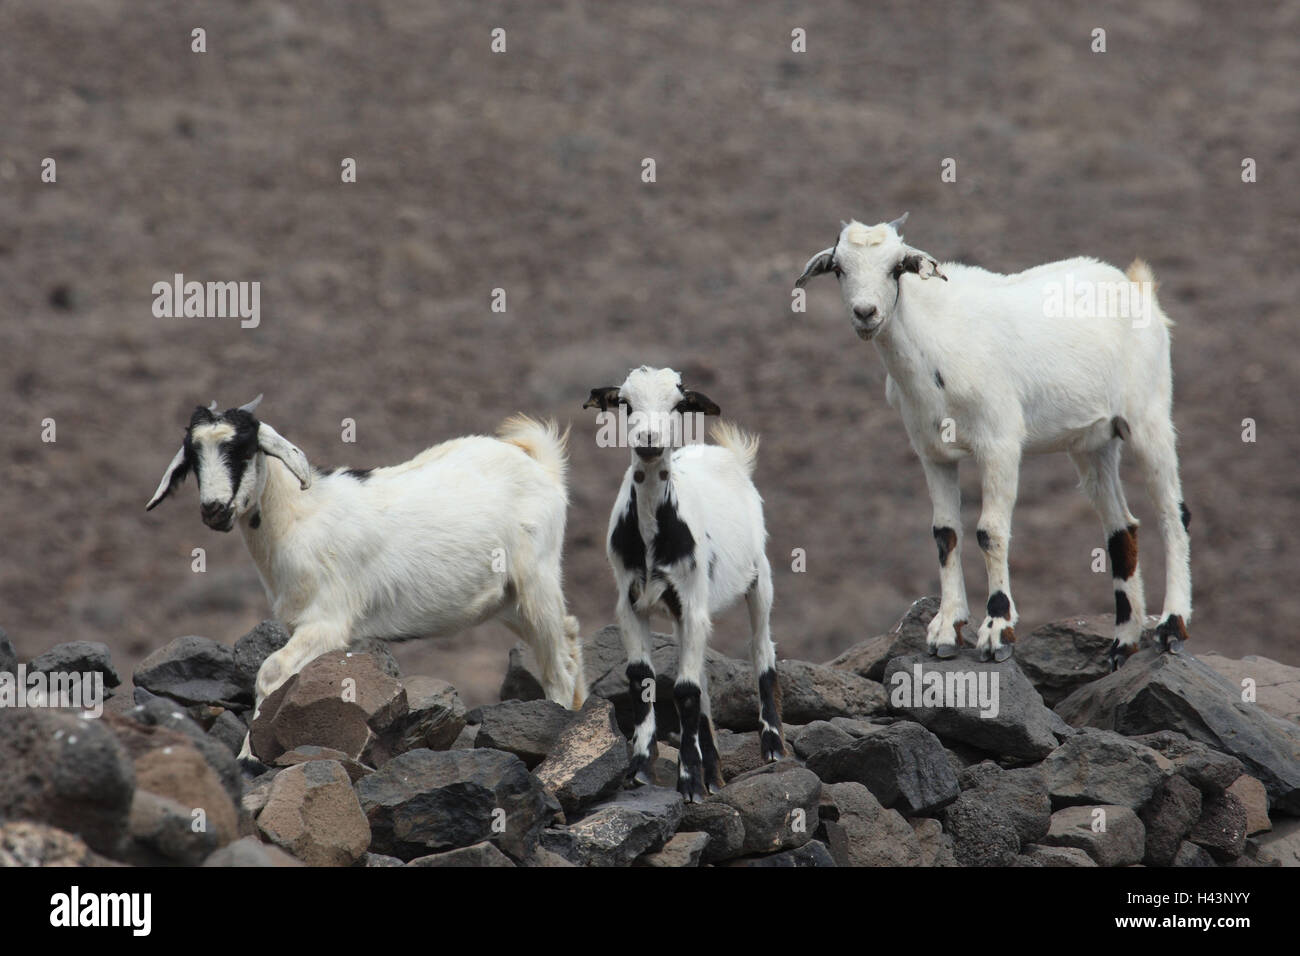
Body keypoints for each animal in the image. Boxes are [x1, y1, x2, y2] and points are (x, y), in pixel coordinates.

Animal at [146, 396, 585, 758]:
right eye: (193, 453)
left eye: (244, 446)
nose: (214, 508)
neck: (299, 517)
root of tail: (541, 463)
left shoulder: (327, 621)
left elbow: (271, 672)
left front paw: (248, 757)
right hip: (509, 599)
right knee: (569, 632)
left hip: (537, 577)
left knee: (557, 662)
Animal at [584, 367, 784, 802]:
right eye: (625, 404)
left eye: (679, 405)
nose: (649, 441)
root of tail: (729, 456)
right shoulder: (631, 603)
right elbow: (642, 679)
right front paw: (641, 768)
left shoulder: (693, 602)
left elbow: (685, 692)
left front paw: (689, 780)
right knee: (705, 680)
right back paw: (714, 772)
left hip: (759, 577)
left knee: (761, 648)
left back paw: (773, 747)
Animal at [797, 214, 1191, 670]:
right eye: (839, 268)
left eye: (896, 267)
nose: (865, 313)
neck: (935, 339)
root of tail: (1137, 288)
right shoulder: (931, 453)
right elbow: (944, 533)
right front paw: (946, 630)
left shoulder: (999, 444)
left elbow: (990, 532)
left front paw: (997, 631)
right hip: (1093, 443)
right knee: (1122, 527)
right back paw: (1122, 644)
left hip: (1149, 418)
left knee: (1173, 515)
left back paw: (1172, 626)